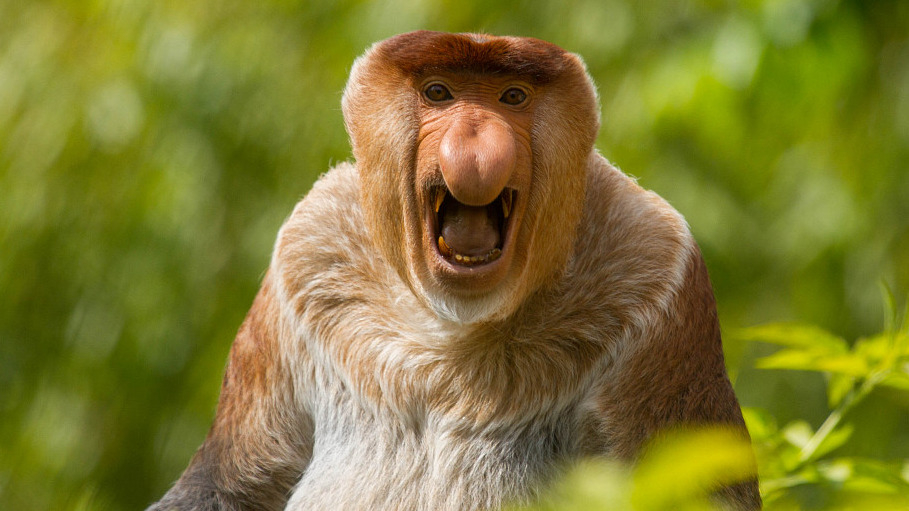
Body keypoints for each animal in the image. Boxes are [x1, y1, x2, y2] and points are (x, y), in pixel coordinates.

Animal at [148, 31, 761, 510]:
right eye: (438, 92)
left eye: (512, 97)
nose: (474, 138)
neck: (456, 322)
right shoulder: (306, 250)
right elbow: (225, 483)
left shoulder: (660, 272)